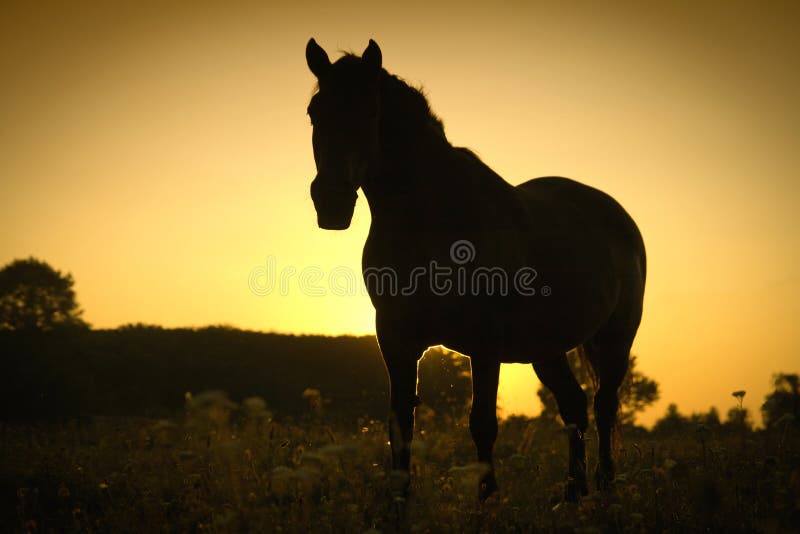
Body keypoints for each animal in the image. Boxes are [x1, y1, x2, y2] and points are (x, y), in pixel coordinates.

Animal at [304, 38, 646, 502]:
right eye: (314, 112)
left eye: (371, 112)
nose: (331, 201)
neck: (433, 218)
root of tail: (616, 215)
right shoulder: (395, 339)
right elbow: (400, 429)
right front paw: (398, 504)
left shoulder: (485, 342)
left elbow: (482, 425)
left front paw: (488, 502)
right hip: (546, 347)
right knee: (574, 405)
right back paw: (574, 494)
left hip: (614, 338)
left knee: (604, 406)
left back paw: (605, 491)